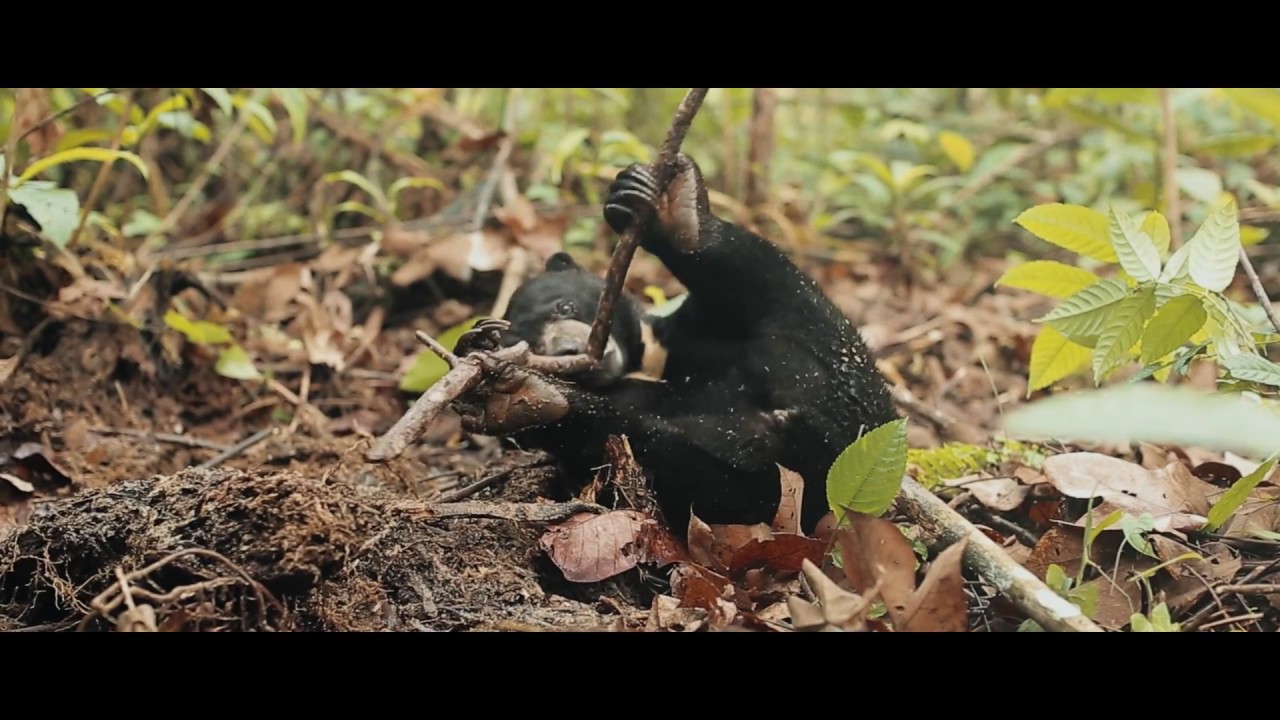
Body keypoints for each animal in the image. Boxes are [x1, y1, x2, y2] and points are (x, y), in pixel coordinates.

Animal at [452, 152, 899, 535]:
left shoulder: (696, 322)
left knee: (783, 294)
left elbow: (742, 293)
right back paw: (517, 397)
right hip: (762, 490)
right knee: (671, 456)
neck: (649, 362)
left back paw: (680, 215)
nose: (568, 350)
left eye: (564, 306)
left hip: (850, 379)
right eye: (534, 345)